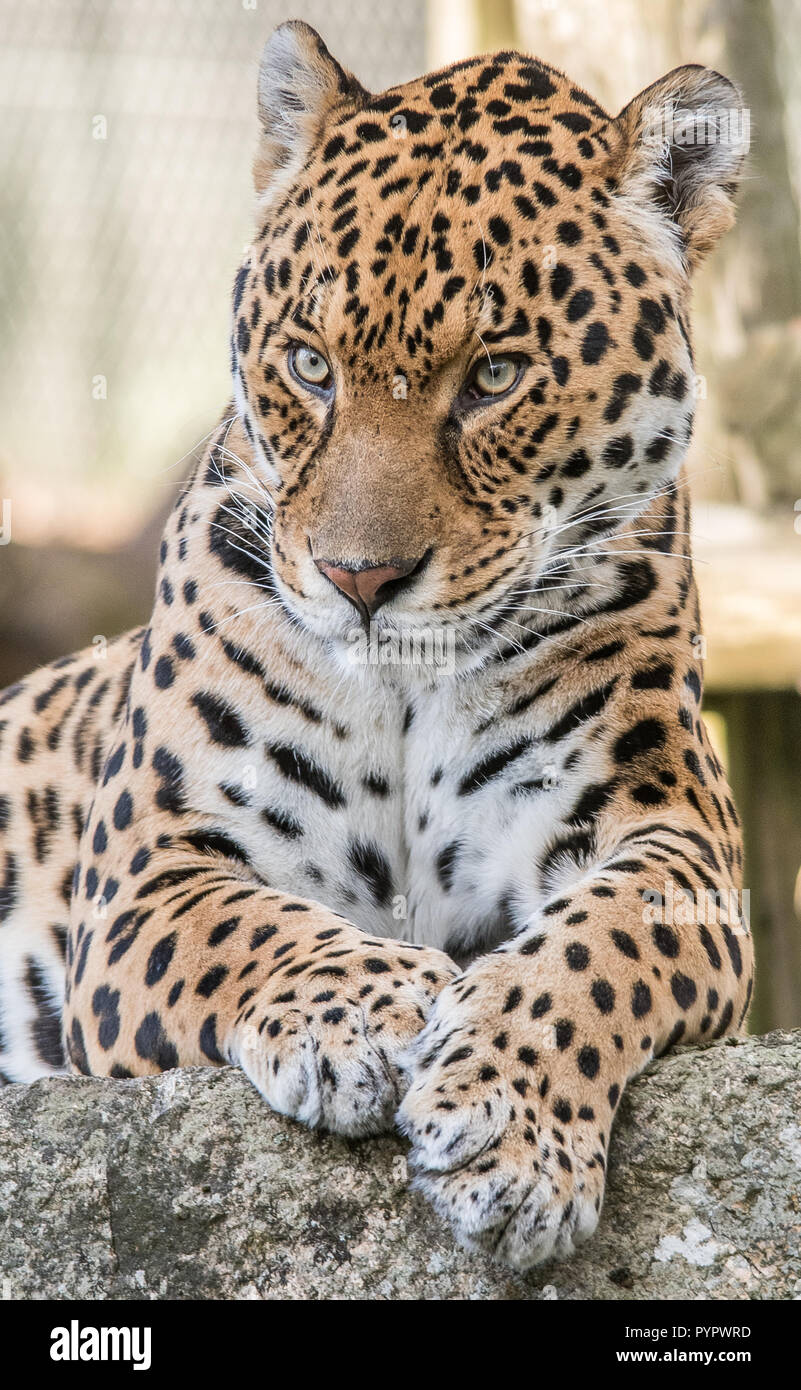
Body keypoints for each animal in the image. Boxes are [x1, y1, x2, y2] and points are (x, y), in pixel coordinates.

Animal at [0, 21, 753, 1270]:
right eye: (311, 365)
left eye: (495, 377)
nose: (359, 580)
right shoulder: (150, 866)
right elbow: (247, 925)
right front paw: (371, 1009)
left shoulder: (675, 842)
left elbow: (596, 950)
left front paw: (509, 1122)